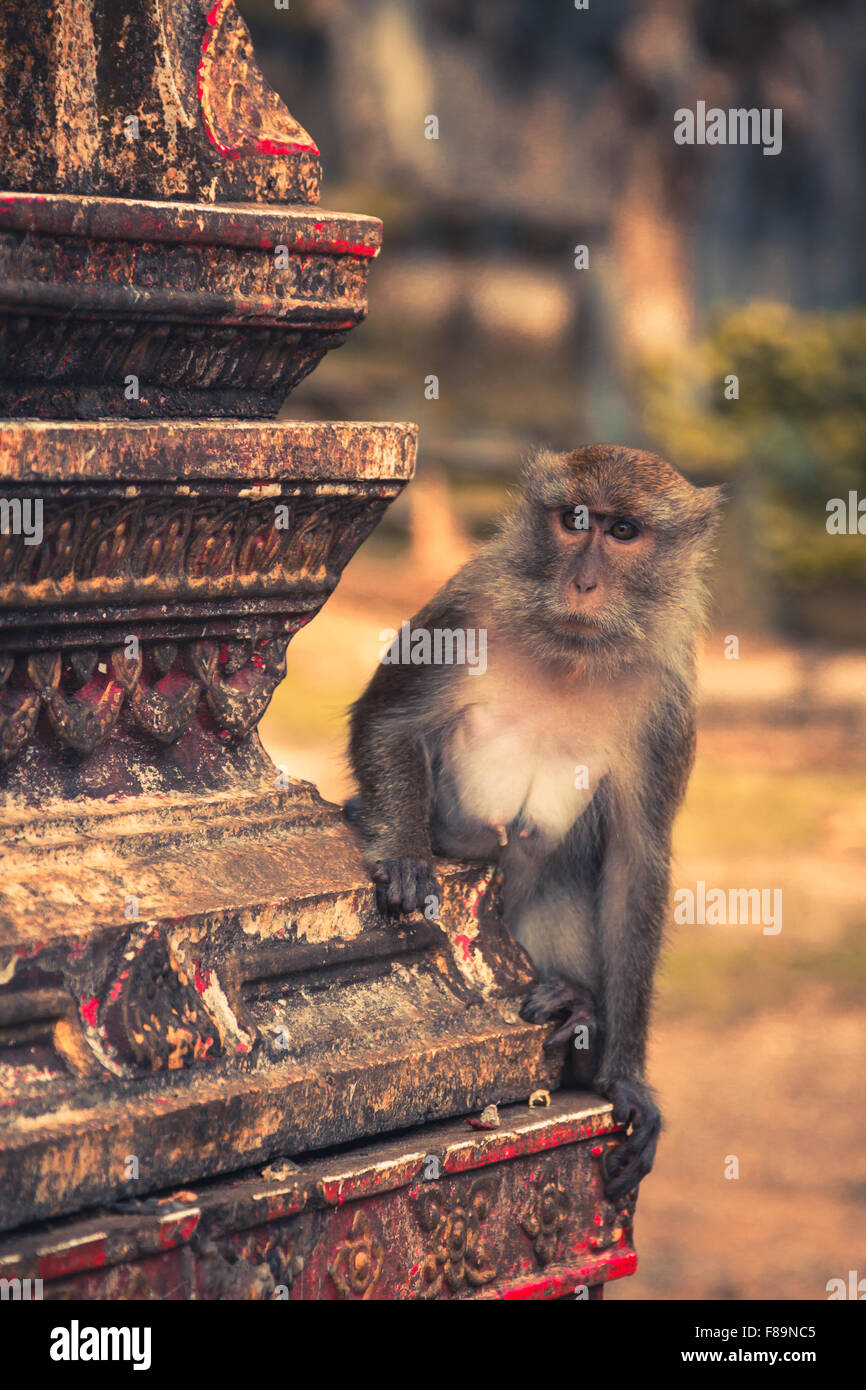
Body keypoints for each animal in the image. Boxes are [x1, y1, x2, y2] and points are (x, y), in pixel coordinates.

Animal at [347, 445, 721, 1200]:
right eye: (575, 520)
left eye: (624, 531)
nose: (582, 582)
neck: (573, 655)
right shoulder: (469, 603)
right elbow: (387, 723)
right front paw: (403, 853)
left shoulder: (668, 701)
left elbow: (636, 863)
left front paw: (625, 1077)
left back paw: (579, 1018)